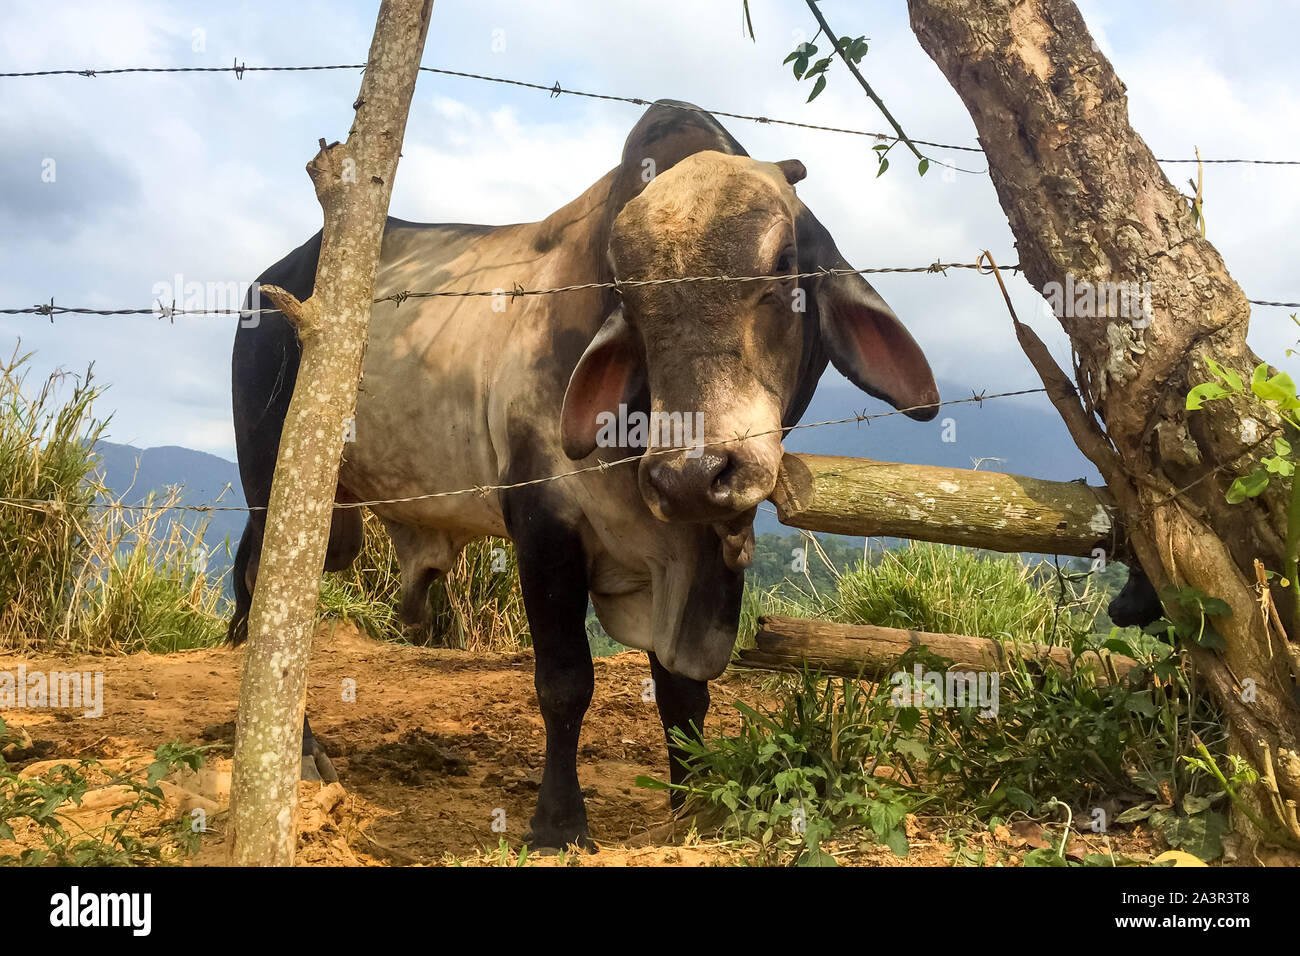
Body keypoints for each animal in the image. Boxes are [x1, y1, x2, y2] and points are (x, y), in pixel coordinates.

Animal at [228, 100, 940, 849]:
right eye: (629, 296)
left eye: (783, 268)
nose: (691, 476)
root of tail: (272, 284)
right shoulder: (544, 522)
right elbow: (565, 681)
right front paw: (557, 822)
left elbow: (683, 690)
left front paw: (693, 802)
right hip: (276, 486)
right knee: (269, 601)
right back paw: (299, 756)